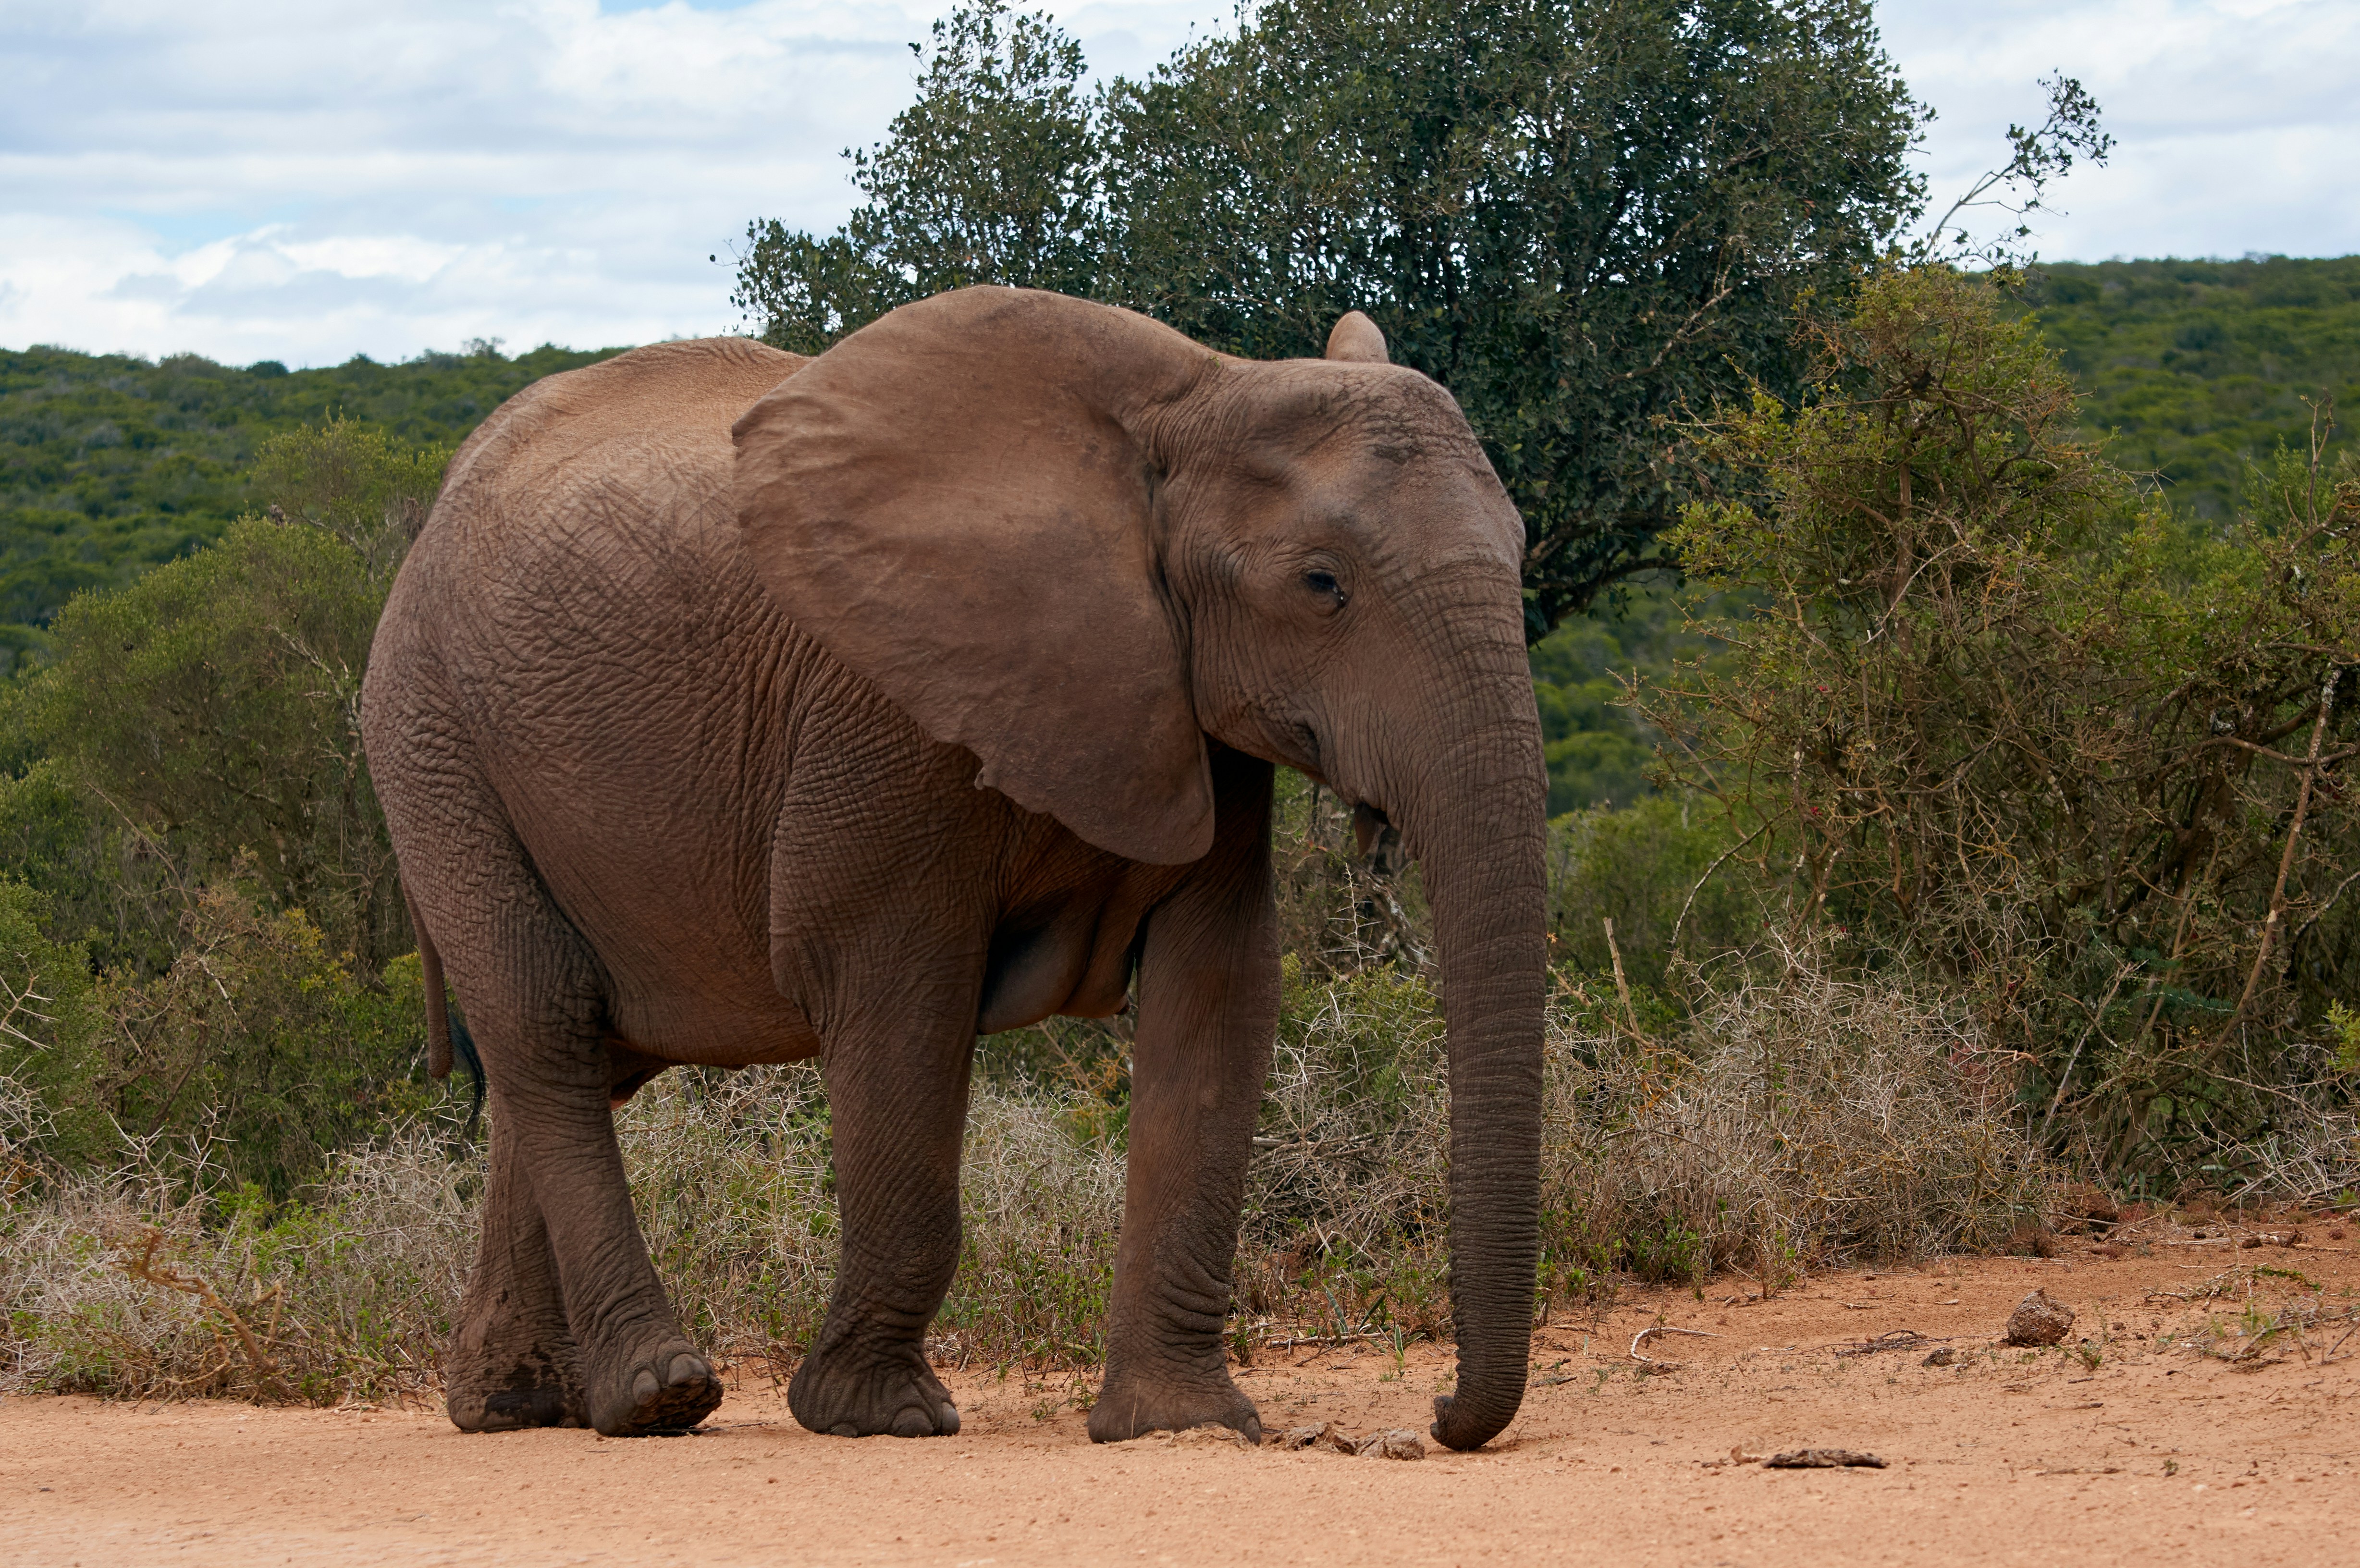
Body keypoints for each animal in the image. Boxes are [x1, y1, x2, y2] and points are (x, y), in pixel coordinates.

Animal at [358, 286, 1546, 1450]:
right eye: (1320, 584)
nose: (1434, 1422)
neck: (1199, 396)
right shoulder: (886, 717)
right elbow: (893, 991)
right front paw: (875, 1414)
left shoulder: (1191, 714)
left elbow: (1219, 991)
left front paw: (1183, 1425)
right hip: (432, 743)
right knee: (547, 1025)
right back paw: (659, 1397)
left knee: (575, 1056)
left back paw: (520, 1407)